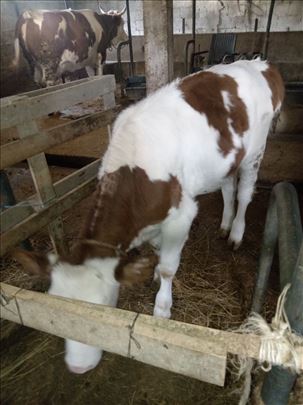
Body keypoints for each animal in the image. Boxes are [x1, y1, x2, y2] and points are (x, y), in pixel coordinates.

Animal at [14, 59, 284, 372]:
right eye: (57, 306)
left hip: (256, 152)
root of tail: (259, 64)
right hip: (228, 159)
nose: (78, 367)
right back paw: (225, 225)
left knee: (244, 192)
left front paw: (162, 306)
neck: (135, 171)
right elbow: (156, 250)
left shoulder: (181, 216)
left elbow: (168, 266)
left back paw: (236, 234)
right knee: (228, 187)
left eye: (103, 304)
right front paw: (152, 272)